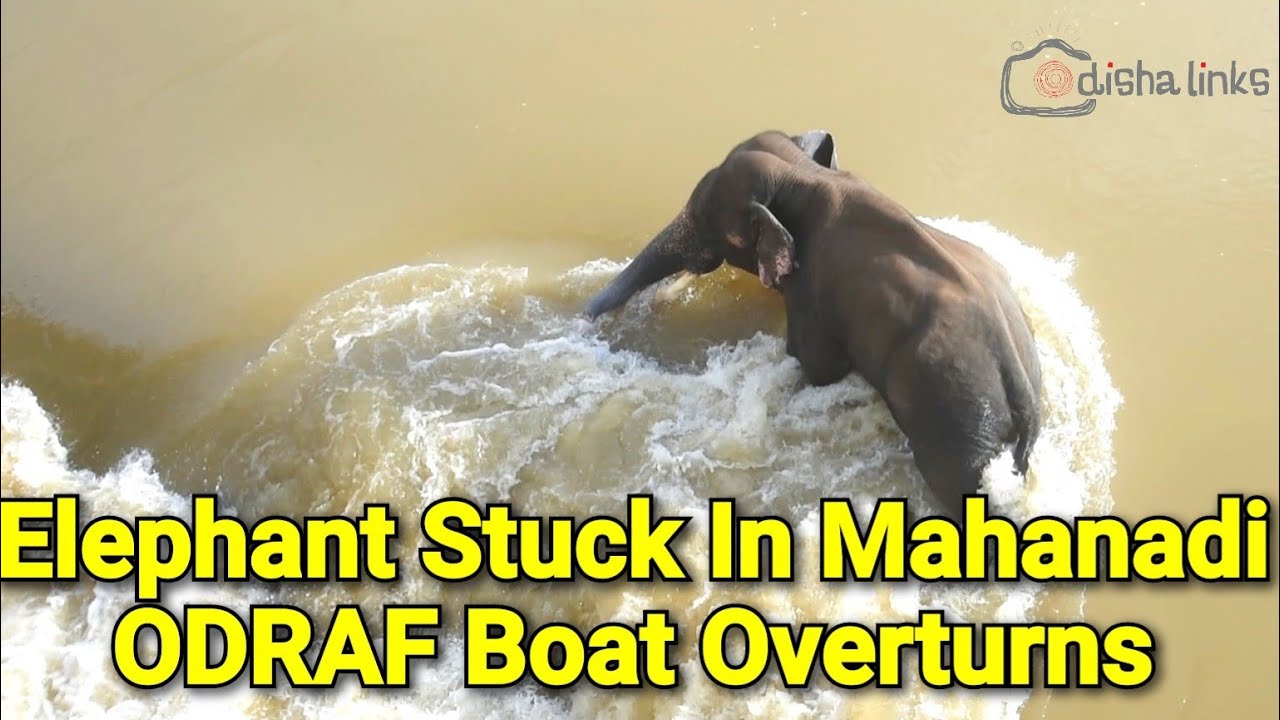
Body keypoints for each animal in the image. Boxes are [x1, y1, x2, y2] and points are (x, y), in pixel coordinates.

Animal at [584, 130, 1042, 520]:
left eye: (711, 227)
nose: (589, 321)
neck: (803, 174)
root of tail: (1021, 391)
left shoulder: (815, 295)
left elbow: (816, 366)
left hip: (954, 421)